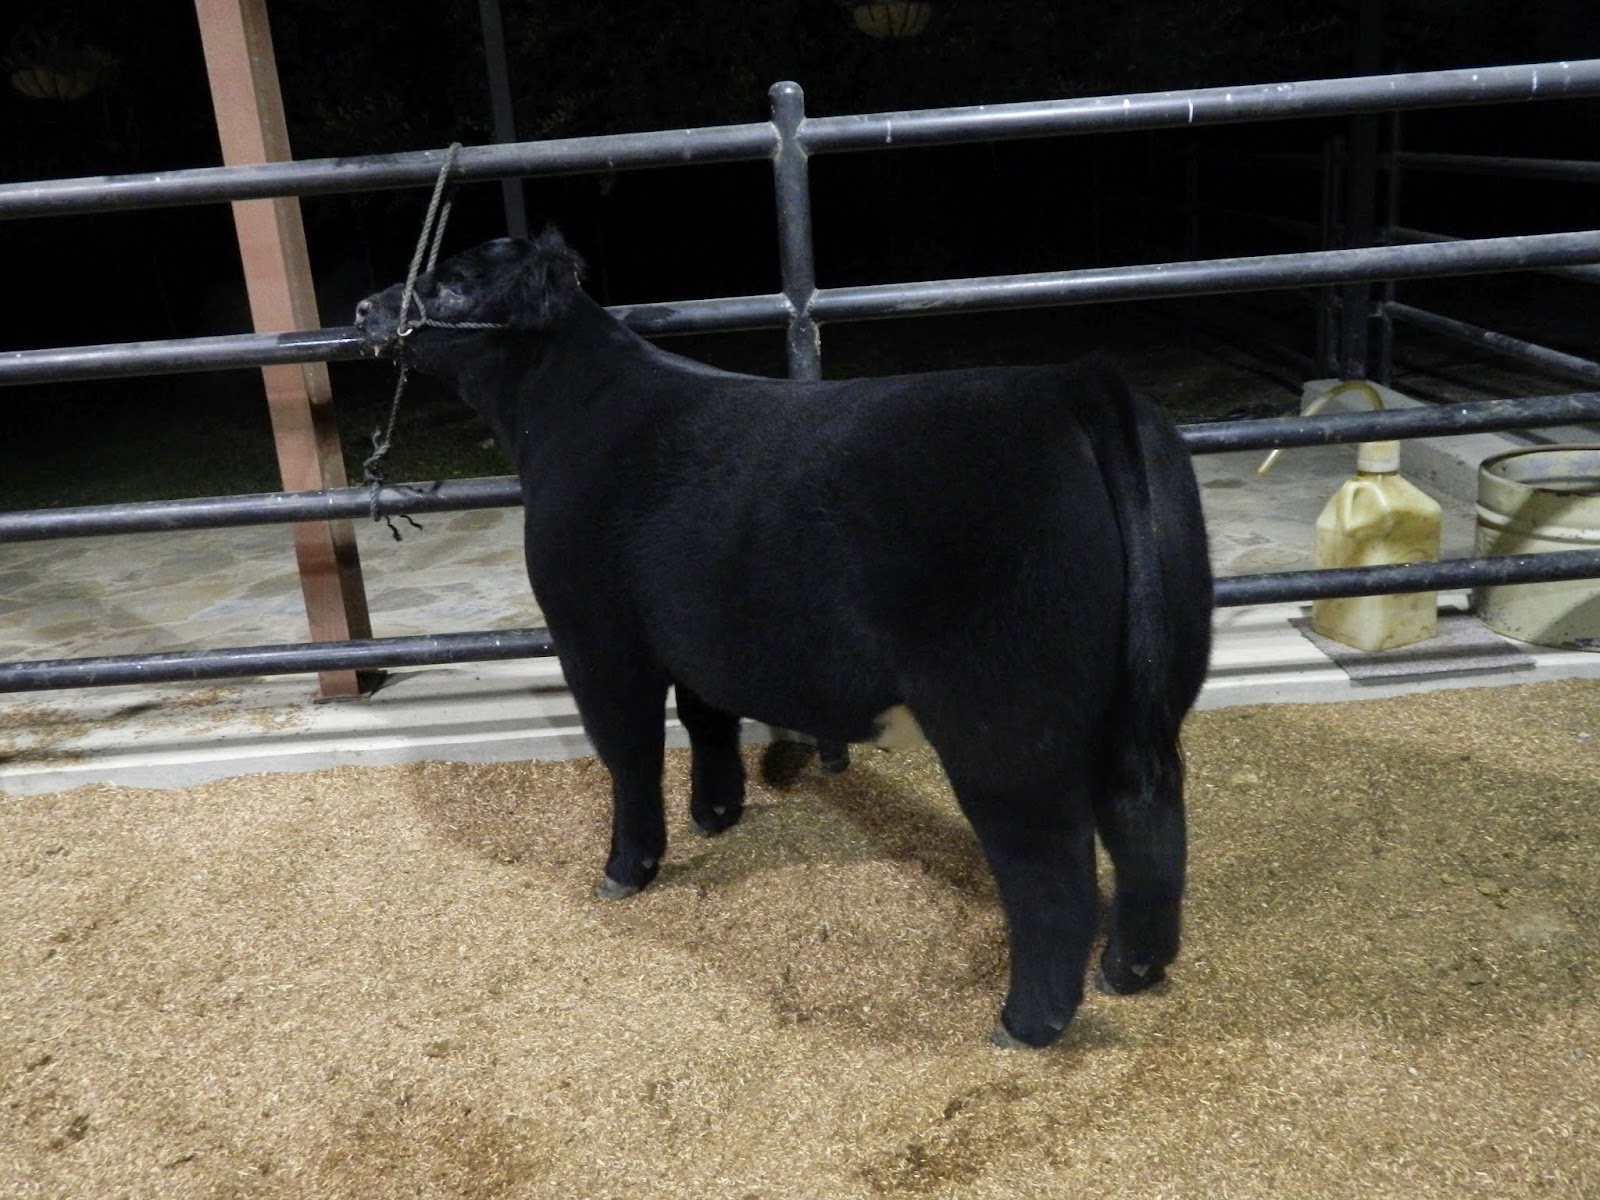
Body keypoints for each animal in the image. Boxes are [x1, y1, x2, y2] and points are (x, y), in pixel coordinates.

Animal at [355, 228, 1213, 1047]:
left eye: (453, 282)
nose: (366, 308)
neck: (567, 410)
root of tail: (1068, 384)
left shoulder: (594, 635)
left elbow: (629, 753)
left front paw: (627, 868)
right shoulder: (696, 633)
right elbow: (707, 717)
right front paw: (716, 813)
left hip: (1004, 725)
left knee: (1053, 869)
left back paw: (1026, 1023)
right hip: (1147, 695)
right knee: (1150, 816)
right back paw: (1132, 969)